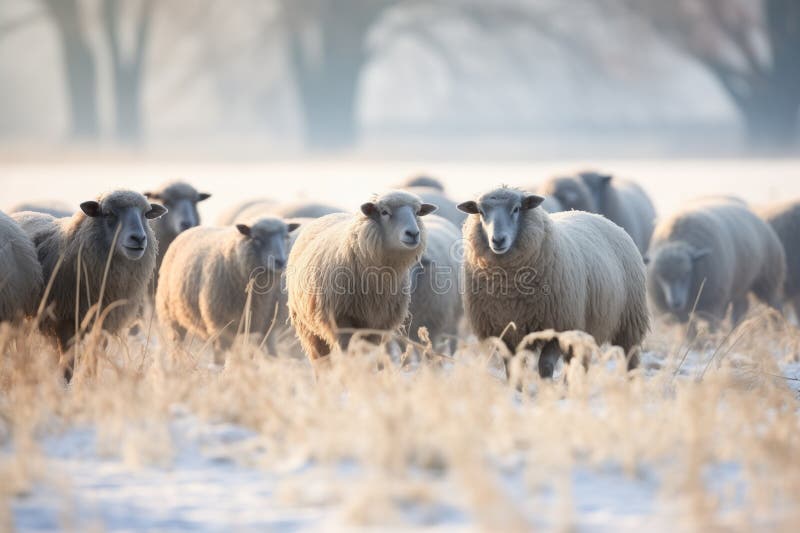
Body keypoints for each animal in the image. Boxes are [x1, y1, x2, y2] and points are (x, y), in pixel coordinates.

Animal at [12, 191, 166, 376]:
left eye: (145, 214)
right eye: (108, 213)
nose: (138, 238)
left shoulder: (103, 323)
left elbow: (94, 359)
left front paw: (91, 380)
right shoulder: (65, 320)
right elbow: (68, 364)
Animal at [156, 217, 300, 358]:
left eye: (286, 237)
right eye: (256, 238)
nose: (280, 261)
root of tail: (191, 229)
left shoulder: (267, 327)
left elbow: (268, 352)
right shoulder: (221, 326)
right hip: (172, 317)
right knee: (178, 345)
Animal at [286, 190, 437, 366]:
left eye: (417, 212)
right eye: (384, 212)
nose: (413, 233)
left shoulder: (378, 324)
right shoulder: (341, 321)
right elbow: (347, 354)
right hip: (307, 327)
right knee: (321, 359)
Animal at [458, 186, 649, 378]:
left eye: (516, 209)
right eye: (481, 212)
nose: (498, 240)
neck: (508, 290)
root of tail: (596, 215)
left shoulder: (560, 326)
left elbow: (546, 365)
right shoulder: (506, 333)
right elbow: (513, 370)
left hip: (629, 321)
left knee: (629, 356)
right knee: (580, 362)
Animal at [647, 198, 785, 333]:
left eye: (687, 272)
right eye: (660, 276)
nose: (675, 302)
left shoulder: (712, 305)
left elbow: (711, 328)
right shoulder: (682, 315)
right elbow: (689, 332)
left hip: (767, 280)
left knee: (774, 305)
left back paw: (778, 329)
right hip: (741, 285)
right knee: (741, 308)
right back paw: (735, 331)